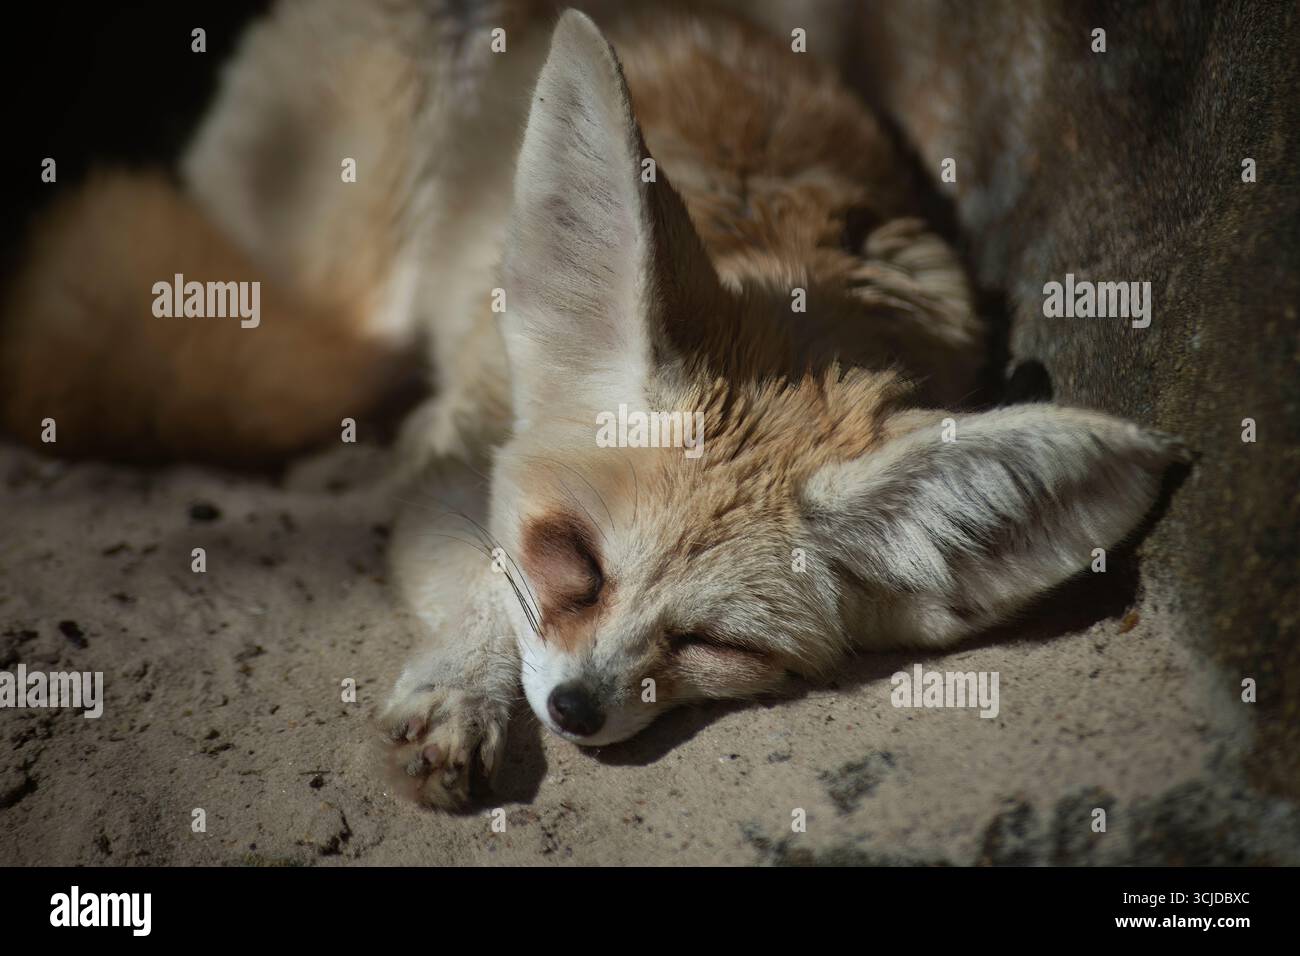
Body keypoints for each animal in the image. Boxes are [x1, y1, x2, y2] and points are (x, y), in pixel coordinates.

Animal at [0, 1, 1188, 810]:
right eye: (572, 558)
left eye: (716, 644)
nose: (574, 707)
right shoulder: (458, 459)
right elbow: (485, 584)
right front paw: (462, 695)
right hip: (347, 269)